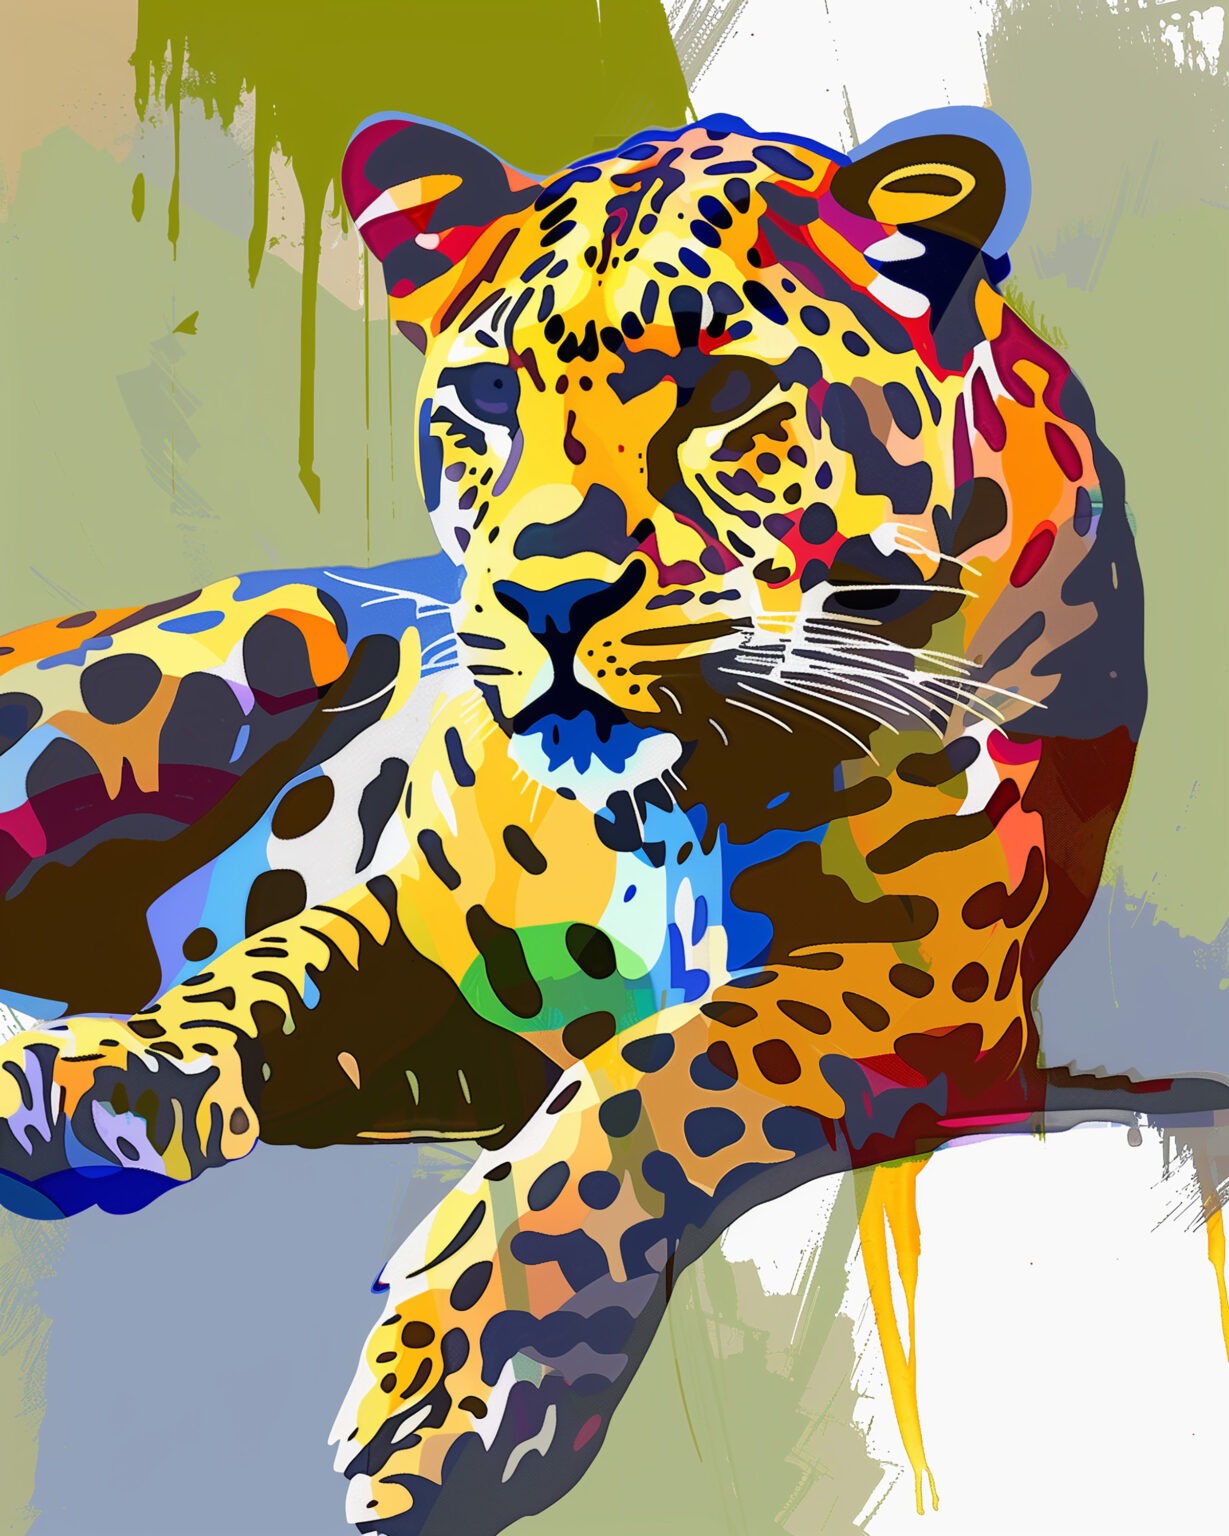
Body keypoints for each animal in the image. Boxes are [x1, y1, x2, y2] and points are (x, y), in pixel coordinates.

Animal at [0, 105, 1164, 1533]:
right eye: (489, 401)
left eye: (720, 396)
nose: (549, 597)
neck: (674, 802)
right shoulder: (411, 920)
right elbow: (265, 968)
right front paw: (105, 1070)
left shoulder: (922, 980)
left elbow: (653, 1076)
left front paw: (456, 1378)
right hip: (252, 635)